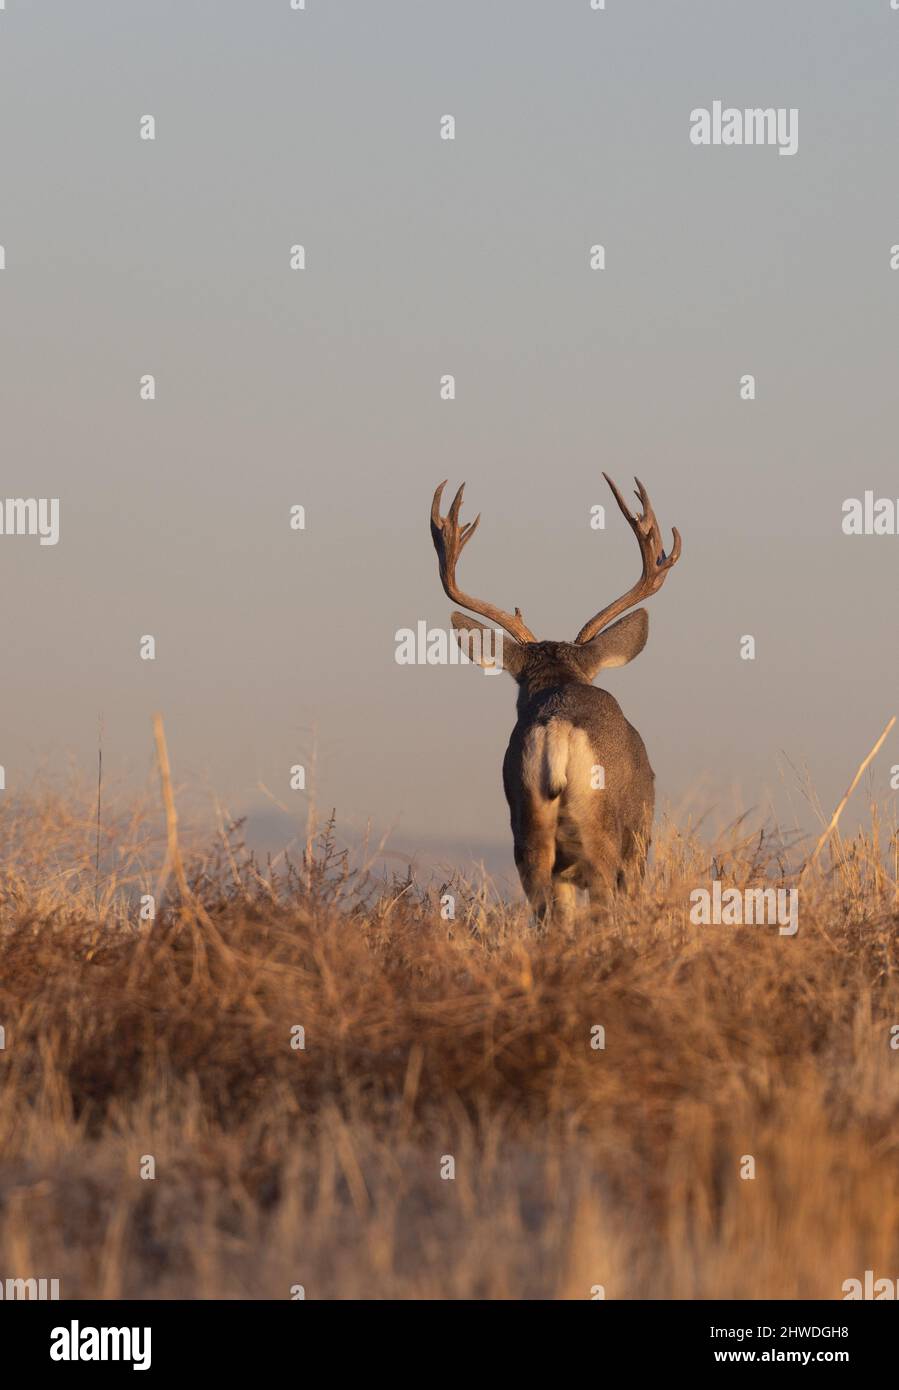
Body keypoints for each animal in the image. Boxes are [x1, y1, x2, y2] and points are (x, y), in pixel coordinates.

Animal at [430, 474, 681, 921]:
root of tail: (559, 729)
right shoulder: (638, 844)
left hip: (528, 829)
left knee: (548, 910)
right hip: (603, 835)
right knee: (600, 904)